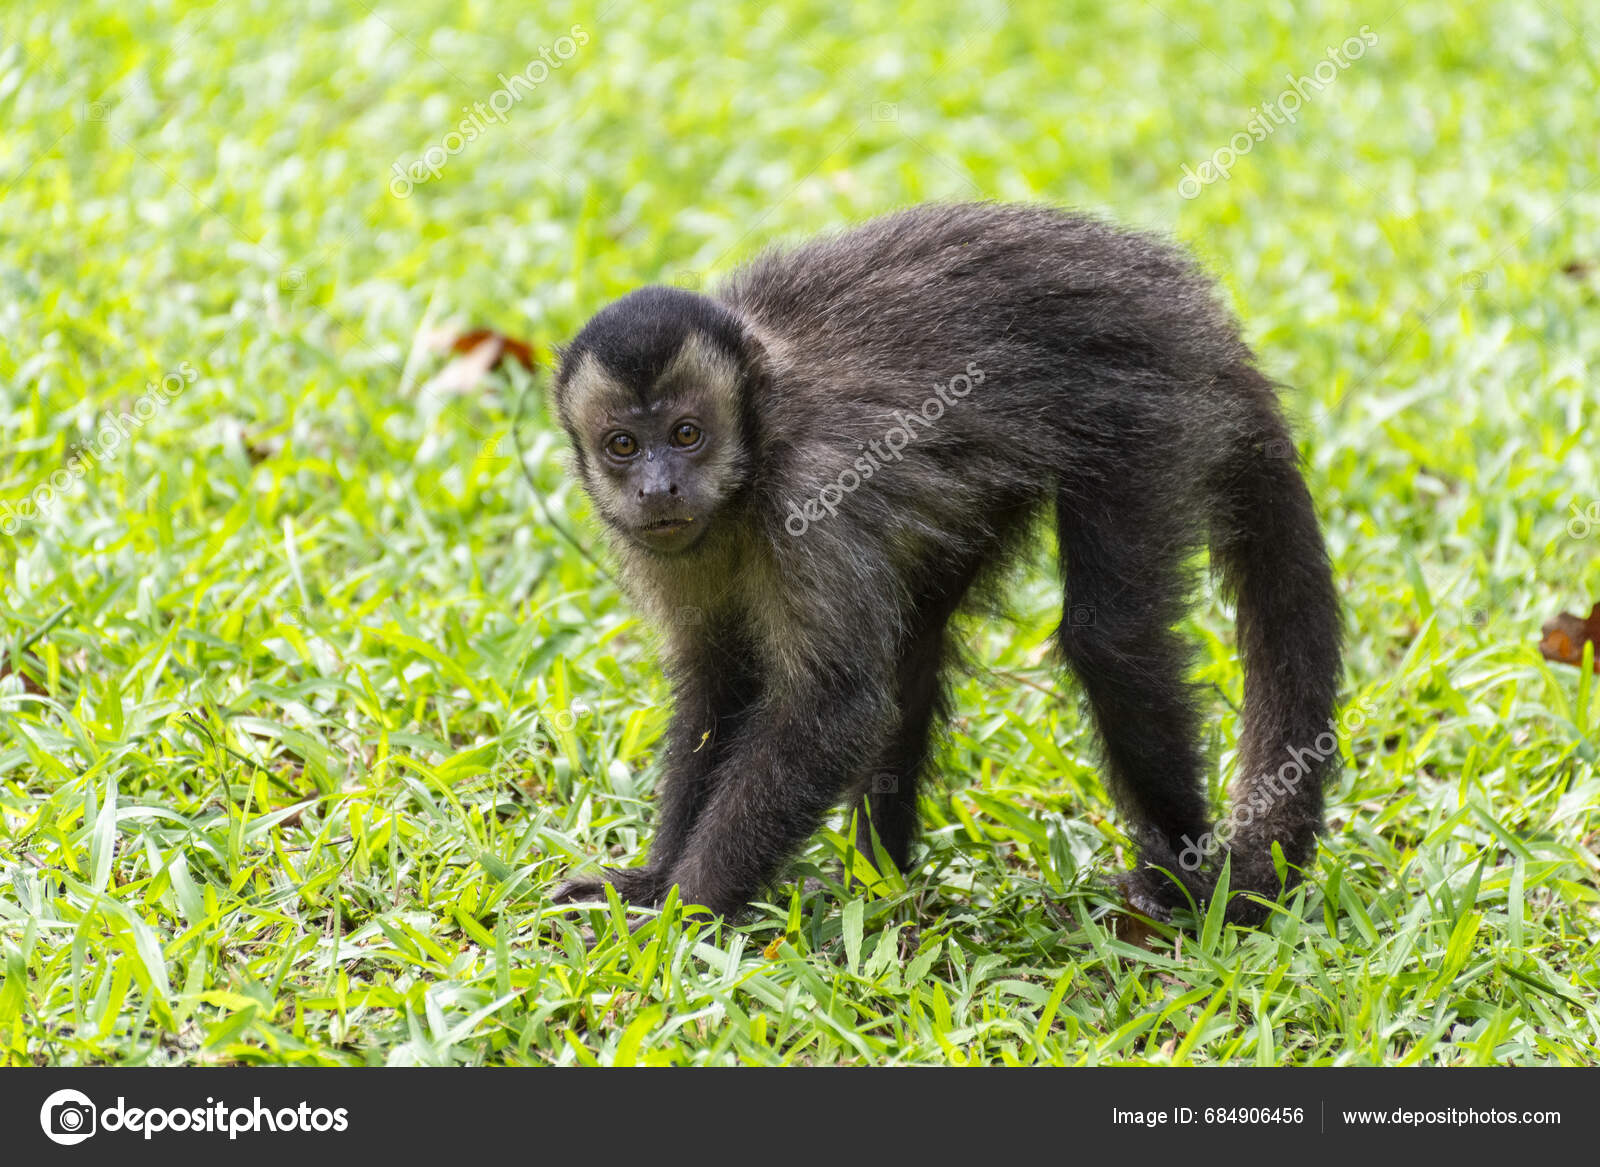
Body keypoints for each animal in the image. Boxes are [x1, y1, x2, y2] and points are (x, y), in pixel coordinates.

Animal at [547, 201, 1341, 926]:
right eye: (623, 445)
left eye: (687, 434)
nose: (659, 487)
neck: (756, 455)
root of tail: (1184, 300)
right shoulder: (667, 543)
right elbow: (720, 680)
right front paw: (653, 880)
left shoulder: (814, 492)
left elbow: (832, 708)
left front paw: (686, 908)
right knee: (916, 641)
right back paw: (879, 880)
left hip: (1147, 408)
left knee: (1111, 640)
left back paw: (1185, 881)